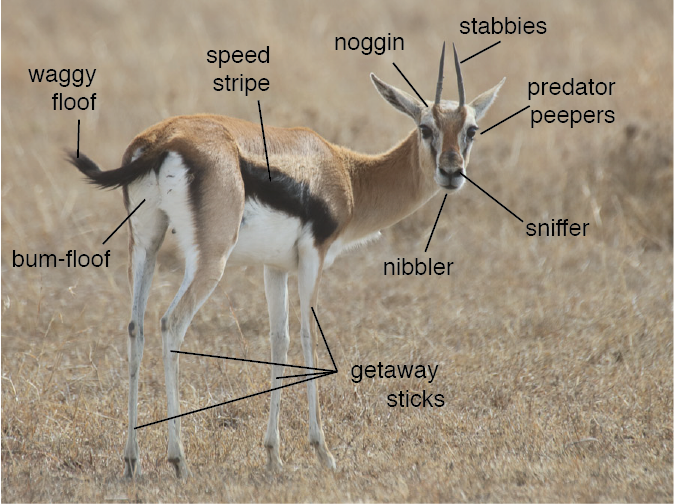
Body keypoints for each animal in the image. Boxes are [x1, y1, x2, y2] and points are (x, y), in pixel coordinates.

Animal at [68, 43, 504, 478]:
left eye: (471, 130)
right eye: (426, 128)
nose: (451, 171)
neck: (346, 174)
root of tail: (161, 140)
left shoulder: (274, 267)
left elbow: (280, 340)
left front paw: (273, 454)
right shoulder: (314, 256)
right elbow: (309, 337)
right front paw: (322, 451)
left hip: (145, 244)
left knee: (136, 327)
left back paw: (132, 460)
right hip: (209, 261)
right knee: (170, 324)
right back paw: (179, 460)